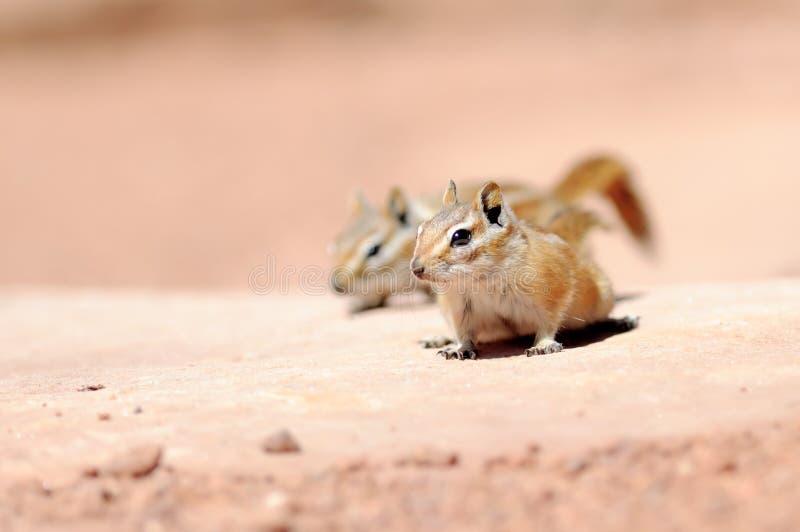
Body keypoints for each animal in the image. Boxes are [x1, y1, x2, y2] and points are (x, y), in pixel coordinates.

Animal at [410, 180, 638, 360]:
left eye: (460, 237)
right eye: (421, 230)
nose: (416, 268)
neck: (481, 279)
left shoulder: (554, 294)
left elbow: (548, 323)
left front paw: (543, 345)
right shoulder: (459, 308)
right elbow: (463, 333)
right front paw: (458, 348)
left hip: (603, 297)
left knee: (599, 317)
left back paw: (621, 321)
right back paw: (440, 338)